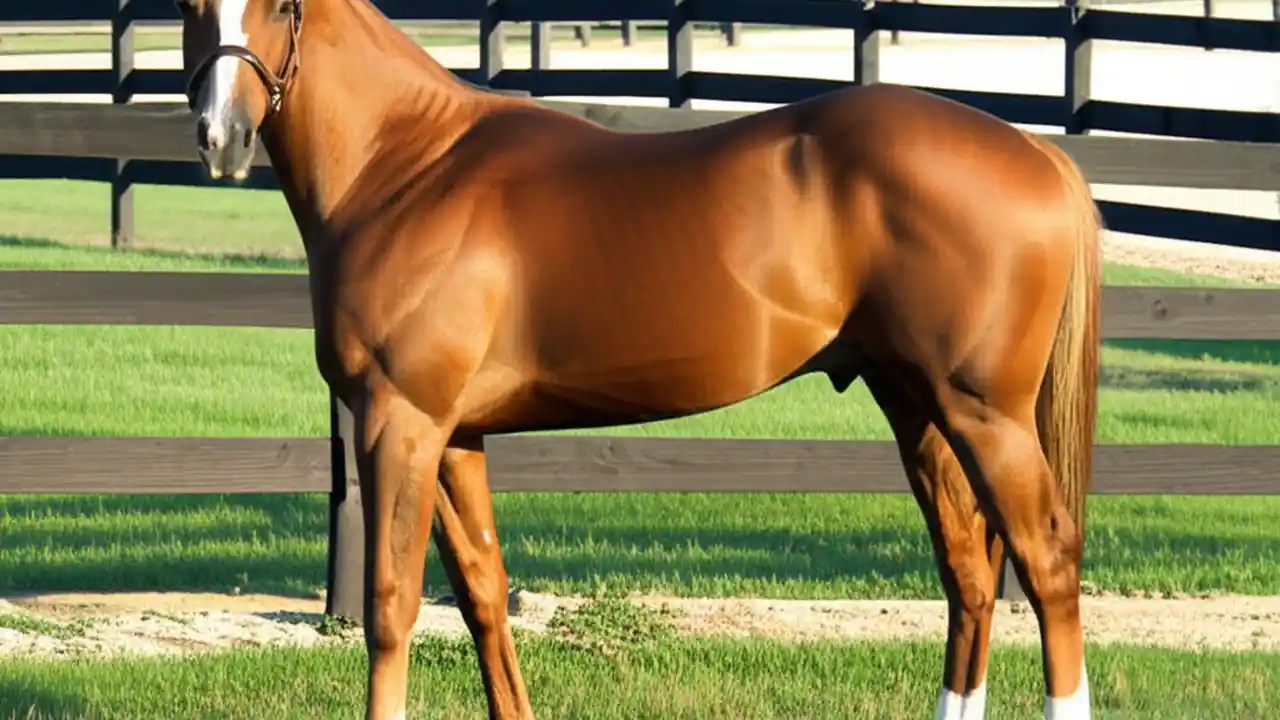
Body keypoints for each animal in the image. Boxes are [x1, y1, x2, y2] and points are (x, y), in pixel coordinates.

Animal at [174, 1, 1102, 718]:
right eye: (190, 6)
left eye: (280, 5)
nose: (221, 137)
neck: (407, 167)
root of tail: (1040, 153)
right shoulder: (456, 436)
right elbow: (482, 594)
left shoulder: (400, 423)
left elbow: (392, 605)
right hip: (916, 406)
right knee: (969, 575)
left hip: (985, 414)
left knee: (1046, 561)